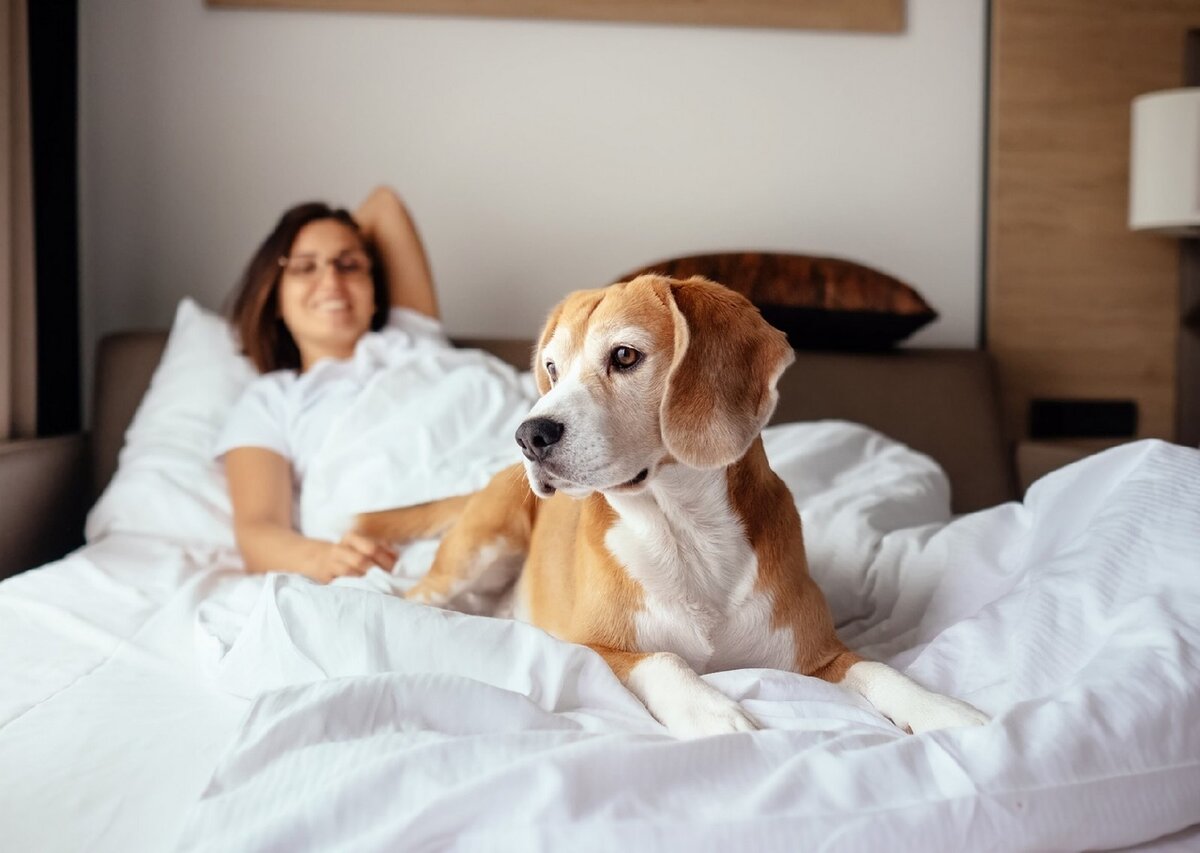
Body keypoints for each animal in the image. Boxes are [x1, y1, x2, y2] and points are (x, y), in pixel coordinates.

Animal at [357, 274, 993, 739]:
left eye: (624, 356)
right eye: (553, 369)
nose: (528, 436)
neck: (683, 531)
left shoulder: (820, 656)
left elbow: (880, 668)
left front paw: (942, 709)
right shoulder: (594, 647)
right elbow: (664, 660)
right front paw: (711, 710)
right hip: (478, 551)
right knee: (415, 595)